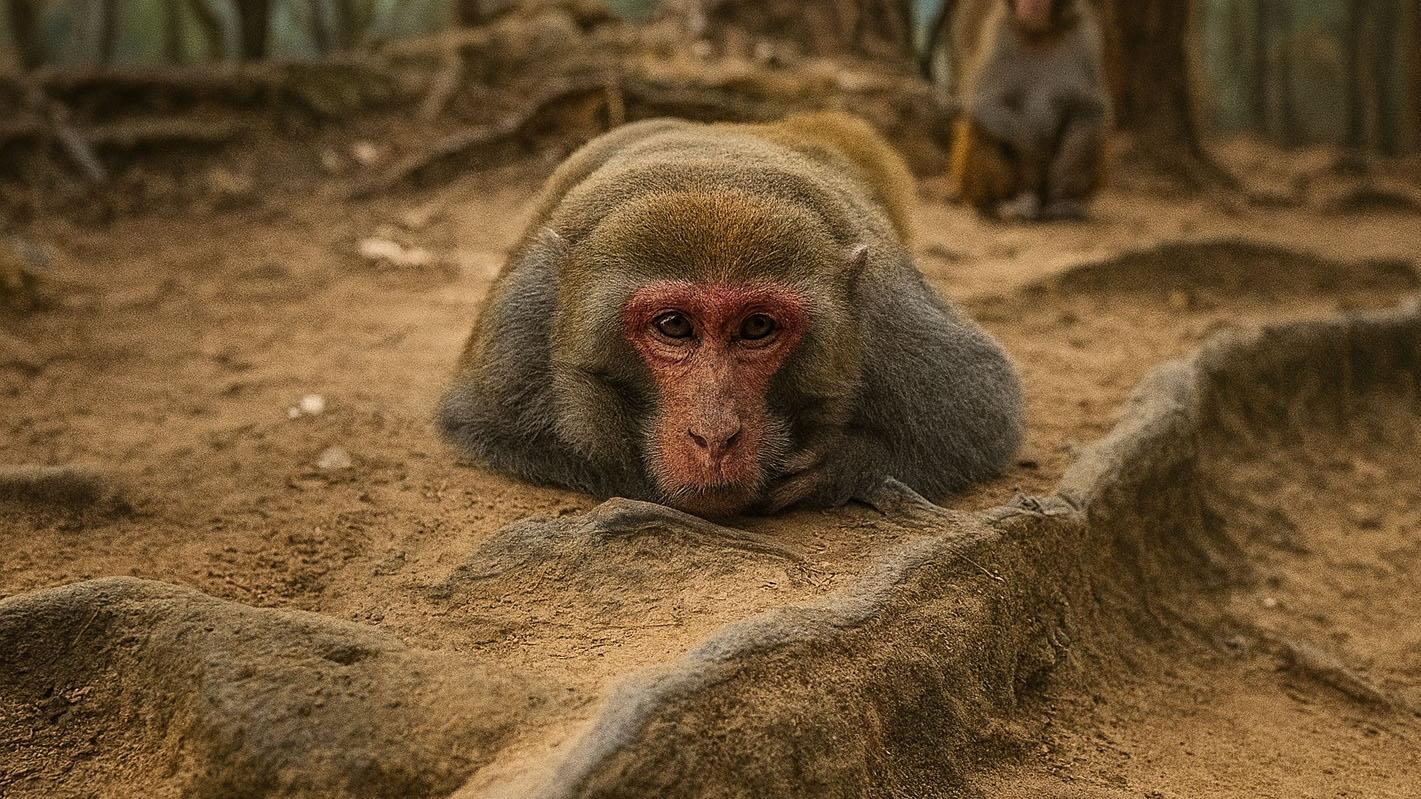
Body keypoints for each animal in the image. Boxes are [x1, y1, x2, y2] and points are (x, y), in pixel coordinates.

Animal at [437, 111, 1025, 518]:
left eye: (757, 327)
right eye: (674, 325)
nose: (715, 436)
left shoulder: (888, 314)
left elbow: (981, 407)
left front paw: (841, 462)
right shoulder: (523, 328)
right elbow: (480, 421)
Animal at [948, 0, 1111, 220]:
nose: (1029, 5)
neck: (1041, 35)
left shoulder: (1085, 33)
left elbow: (1089, 108)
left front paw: (1063, 180)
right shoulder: (1000, 31)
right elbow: (984, 101)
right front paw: (1033, 150)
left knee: (1095, 132)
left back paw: (1064, 202)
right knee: (981, 128)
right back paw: (1001, 203)